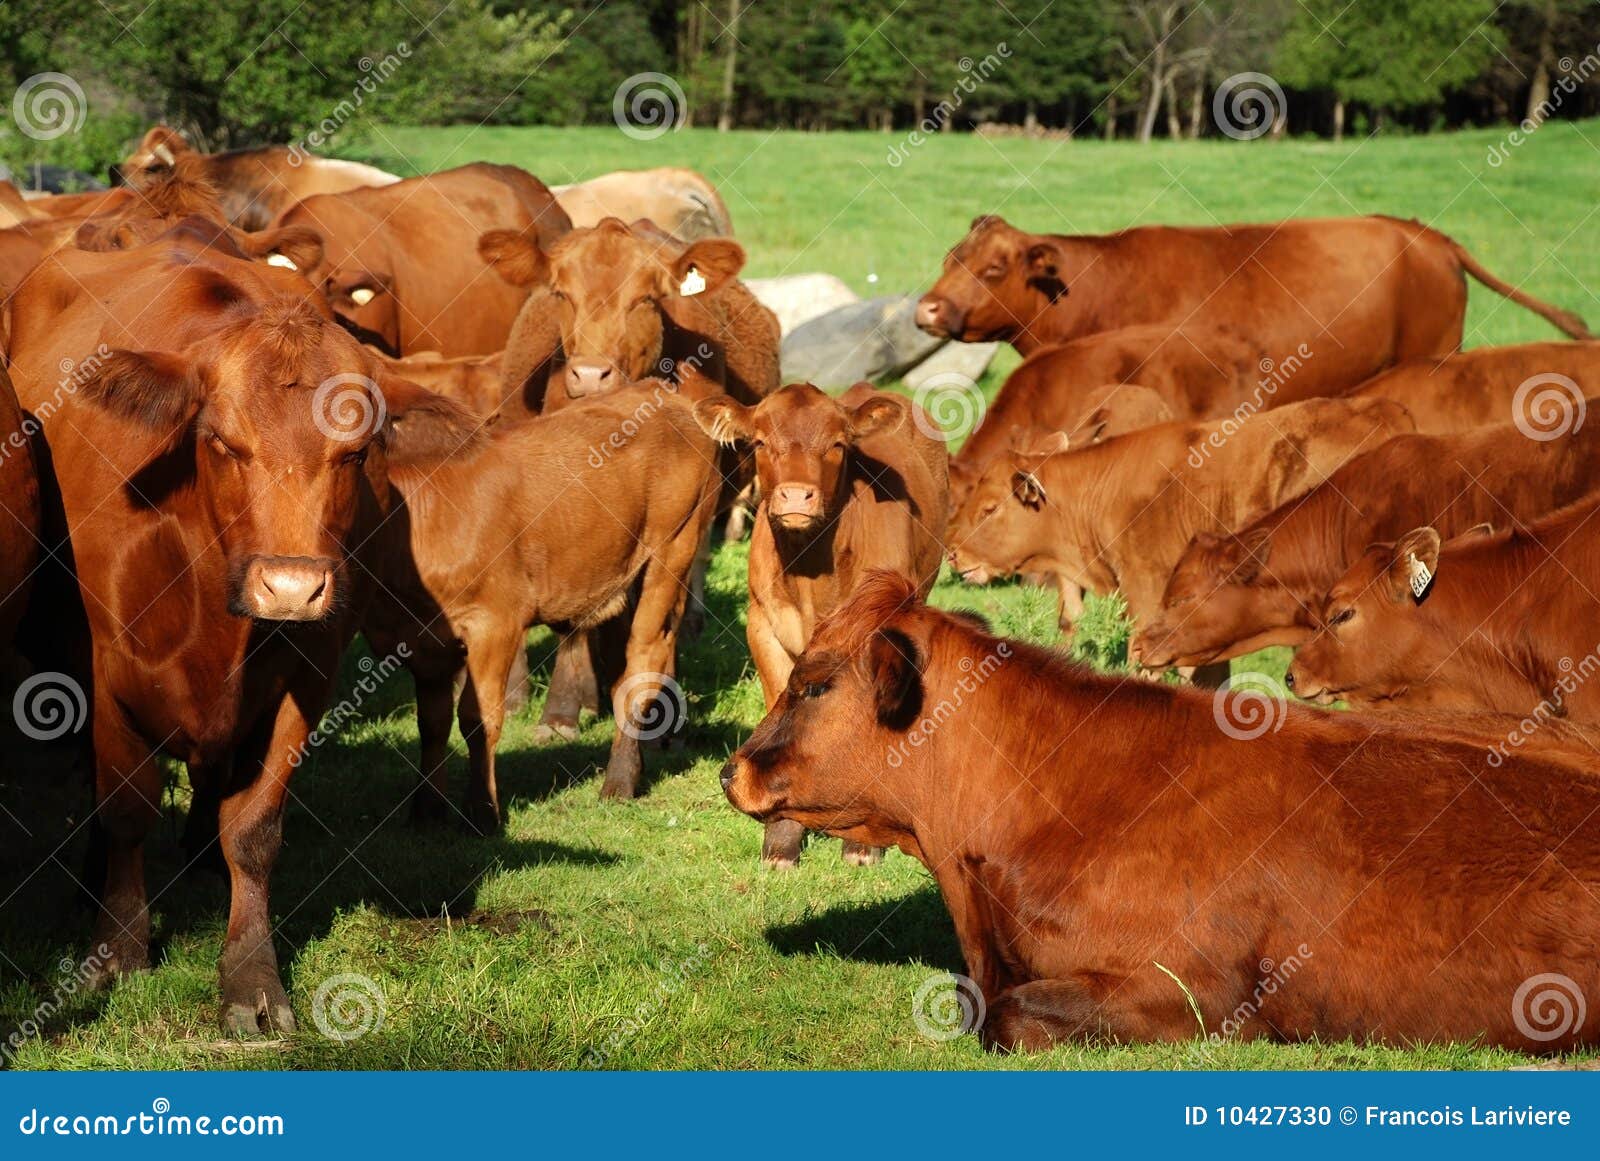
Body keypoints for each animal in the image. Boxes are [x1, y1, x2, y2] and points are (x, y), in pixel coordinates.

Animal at [4, 226, 464, 1035]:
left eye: (356, 451)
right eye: (220, 441)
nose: (290, 587)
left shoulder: (307, 678)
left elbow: (253, 830)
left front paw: (251, 978)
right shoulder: (108, 671)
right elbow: (126, 808)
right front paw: (118, 949)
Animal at [363, 382, 720, 831]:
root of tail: (663, 392)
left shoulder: (493, 625)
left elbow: (478, 719)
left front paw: (482, 813)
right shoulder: (421, 643)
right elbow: (432, 723)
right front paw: (426, 811)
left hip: (673, 548)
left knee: (646, 655)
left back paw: (618, 782)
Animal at [694, 382, 948, 868]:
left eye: (837, 445)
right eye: (759, 442)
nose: (796, 497)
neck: (812, 574)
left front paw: (863, 845)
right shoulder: (764, 628)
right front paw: (781, 839)